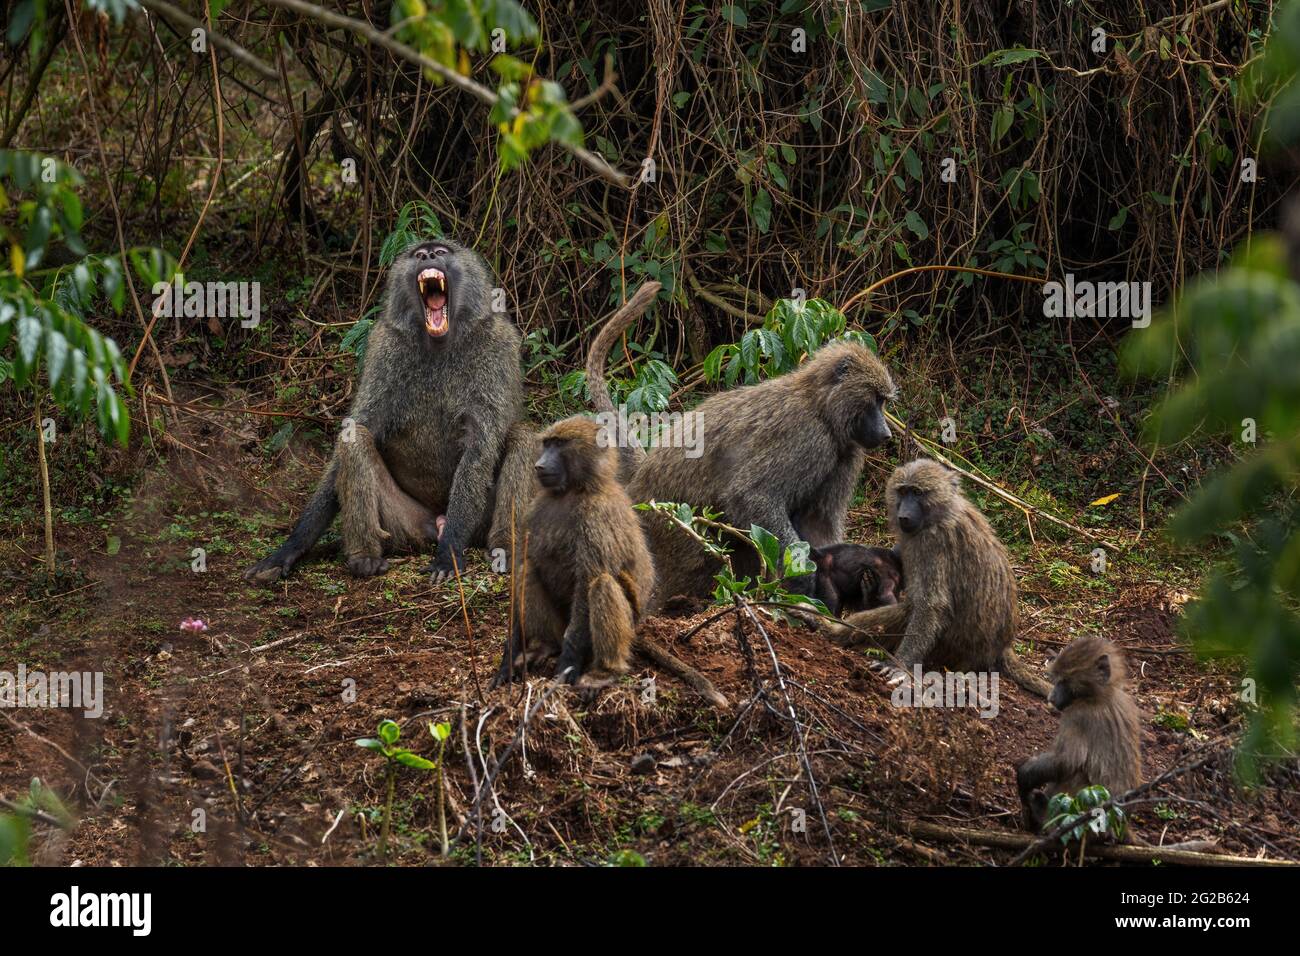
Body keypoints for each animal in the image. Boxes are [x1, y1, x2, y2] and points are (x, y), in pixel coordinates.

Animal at [244, 238, 539, 586]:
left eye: (441, 252)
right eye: (419, 254)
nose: (428, 255)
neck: (440, 343)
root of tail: (437, 521)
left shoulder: (497, 347)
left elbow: (480, 449)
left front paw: (449, 553)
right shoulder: (385, 349)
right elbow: (359, 431)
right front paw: (290, 548)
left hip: (478, 523)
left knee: (523, 436)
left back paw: (503, 548)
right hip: (408, 524)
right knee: (354, 437)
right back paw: (365, 558)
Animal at [492, 416, 728, 707]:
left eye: (559, 444)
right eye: (547, 444)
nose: (540, 465)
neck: (574, 490)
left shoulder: (597, 518)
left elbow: (588, 581)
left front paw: (567, 667)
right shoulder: (533, 513)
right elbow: (524, 566)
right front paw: (508, 660)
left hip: (623, 626)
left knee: (602, 584)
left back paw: (605, 671)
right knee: (528, 571)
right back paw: (544, 646)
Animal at [588, 307, 897, 610]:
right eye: (876, 400)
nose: (886, 433)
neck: (821, 406)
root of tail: (642, 476)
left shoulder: (845, 452)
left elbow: (817, 522)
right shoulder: (805, 437)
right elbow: (752, 496)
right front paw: (803, 578)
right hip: (668, 516)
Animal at [818, 458, 1053, 698]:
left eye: (917, 492)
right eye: (903, 491)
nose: (903, 515)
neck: (942, 513)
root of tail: (1001, 647)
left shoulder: (932, 543)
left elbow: (930, 604)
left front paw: (899, 664)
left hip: (951, 648)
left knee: (908, 611)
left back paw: (828, 626)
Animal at [1015, 635, 1140, 832]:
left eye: (1064, 681)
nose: (1051, 697)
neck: (1099, 695)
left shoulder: (1076, 715)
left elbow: (1067, 761)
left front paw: (1024, 778)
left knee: (1075, 773)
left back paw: (1040, 814)